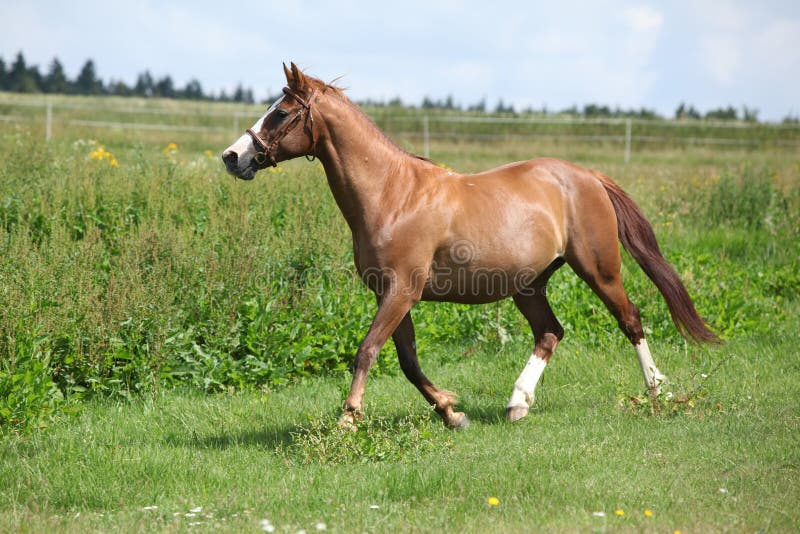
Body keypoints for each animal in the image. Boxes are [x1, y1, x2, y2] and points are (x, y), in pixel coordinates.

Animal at [220, 62, 720, 432]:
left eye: (281, 112)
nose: (232, 157)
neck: (391, 195)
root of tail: (588, 177)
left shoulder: (401, 292)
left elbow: (367, 351)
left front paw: (349, 417)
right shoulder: (392, 295)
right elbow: (407, 361)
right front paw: (451, 412)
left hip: (598, 270)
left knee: (630, 319)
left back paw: (656, 392)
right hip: (529, 285)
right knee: (550, 332)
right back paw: (517, 403)